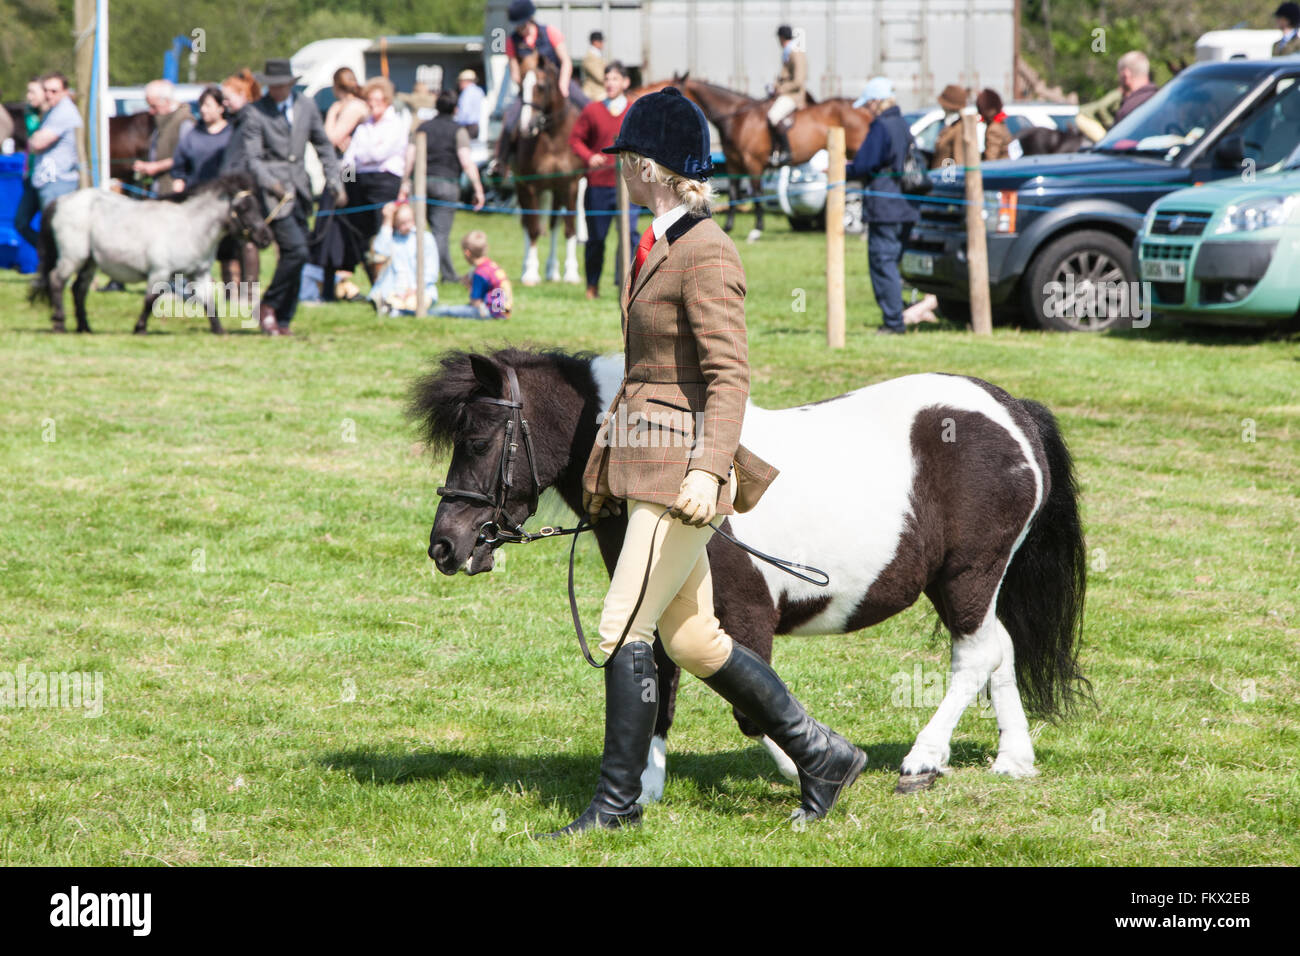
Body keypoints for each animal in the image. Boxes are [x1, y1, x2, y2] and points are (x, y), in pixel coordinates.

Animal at [29, 170, 274, 334]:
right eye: (243, 208)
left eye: (257, 205)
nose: (265, 238)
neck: (190, 227)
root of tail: (60, 201)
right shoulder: (160, 272)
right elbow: (150, 300)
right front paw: (139, 328)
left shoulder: (200, 274)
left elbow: (208, 303)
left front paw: (219, 331)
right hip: (73, 258)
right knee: (57, 281)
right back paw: (59, 323)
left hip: (90, 262)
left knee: (79, 289)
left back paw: (84, 327)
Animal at [410, 347, 1090, 801]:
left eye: (477, 441)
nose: (445, 545)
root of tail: (1013, 412)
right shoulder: (656, 604)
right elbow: (658, 684)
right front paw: (645, 789)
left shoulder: (743, 613)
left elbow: (749, 706)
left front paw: (814, 768)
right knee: (1001, 648)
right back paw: (1014, 759)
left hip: (967, 574)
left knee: (975, 655)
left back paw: (923, 759)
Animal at [513, 53, 584, 286]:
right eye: (520, 88)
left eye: (541, 86)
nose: (526, 126)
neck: (554, 137)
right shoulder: (529, 186)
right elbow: (534, 229)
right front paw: (530, 274)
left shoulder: (570, 185)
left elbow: (569, 228)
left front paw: (571, 273)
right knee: (527, 225)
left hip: (556, 191)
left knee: (554, 224)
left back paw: (553, 270)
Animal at [677, 76, 873, 241]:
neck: (738, 118)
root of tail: (863, 108)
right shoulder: (734, 164)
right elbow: (733, 194)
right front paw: (727, 228)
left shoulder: (753, 163)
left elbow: (757, 194)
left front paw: (756, 231)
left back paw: (864, 229)